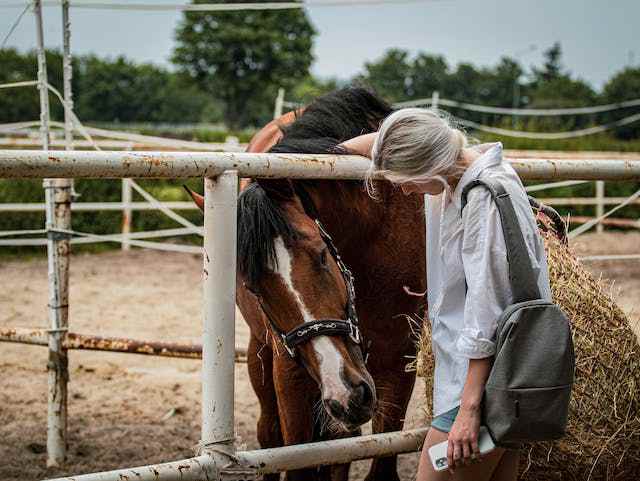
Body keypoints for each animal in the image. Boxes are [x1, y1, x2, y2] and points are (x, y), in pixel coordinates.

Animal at [188, 88, 428, 478]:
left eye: (320, 255)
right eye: (254, 288)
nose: (347, 394)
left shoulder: (397, 362)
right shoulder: (291, 372)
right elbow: (297, 457)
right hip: (262, 356)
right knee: (270, 433)